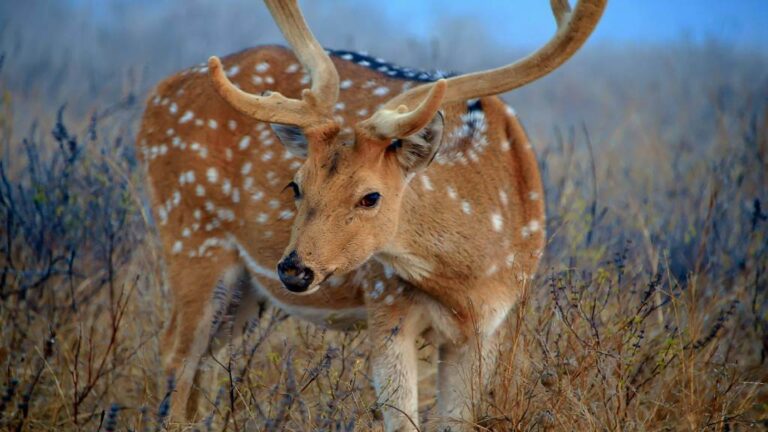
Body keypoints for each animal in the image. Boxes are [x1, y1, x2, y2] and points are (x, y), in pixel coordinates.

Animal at [136, 0, 606, 430]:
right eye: (296, 184)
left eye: (370, 196)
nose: (294, 269)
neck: (468, 281)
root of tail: (157, 94)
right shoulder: (386, 302)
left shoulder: (489, 327)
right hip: (192, 232)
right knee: (176, 353)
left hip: (245, 287)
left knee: (207, 362)